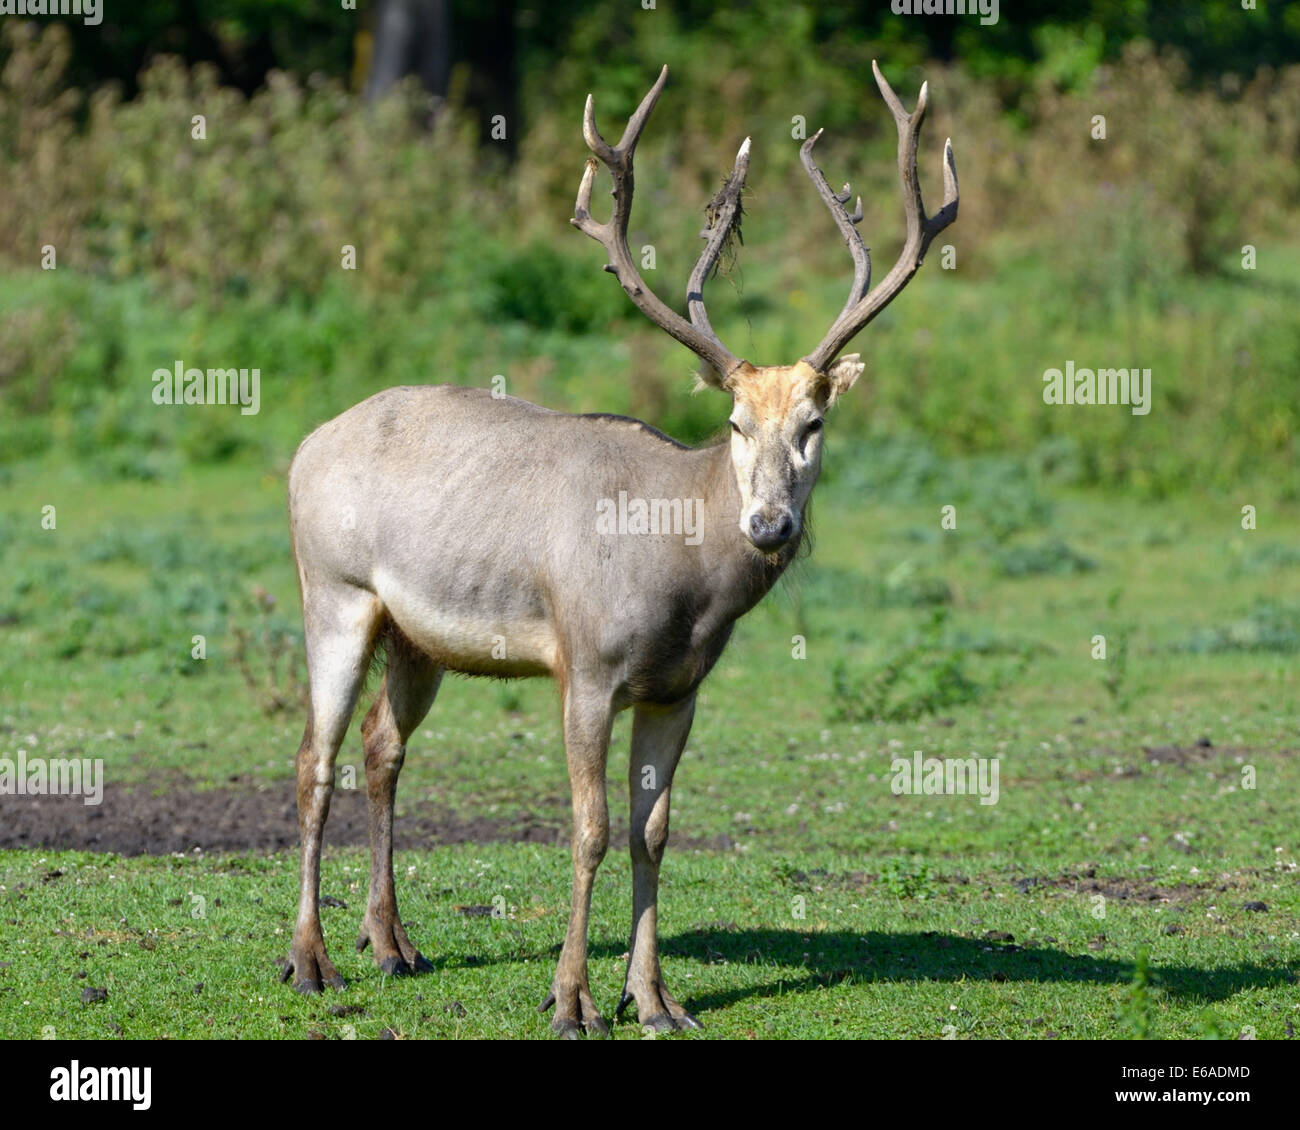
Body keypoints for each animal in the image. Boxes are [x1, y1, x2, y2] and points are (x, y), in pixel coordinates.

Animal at [279, 61, 957, 1036]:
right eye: (735, 422)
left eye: (815, 423)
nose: (770, 526)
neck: (682, 584)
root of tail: (303, 447)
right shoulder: (589, 663)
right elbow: (590, 827)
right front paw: (571, 1000)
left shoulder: (679, 686)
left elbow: (653, 832)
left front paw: (657, 1000)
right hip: (331, 589)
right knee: (312, 759)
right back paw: (310, 961)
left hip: (416, 636)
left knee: (379, 748)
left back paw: (393, 944)